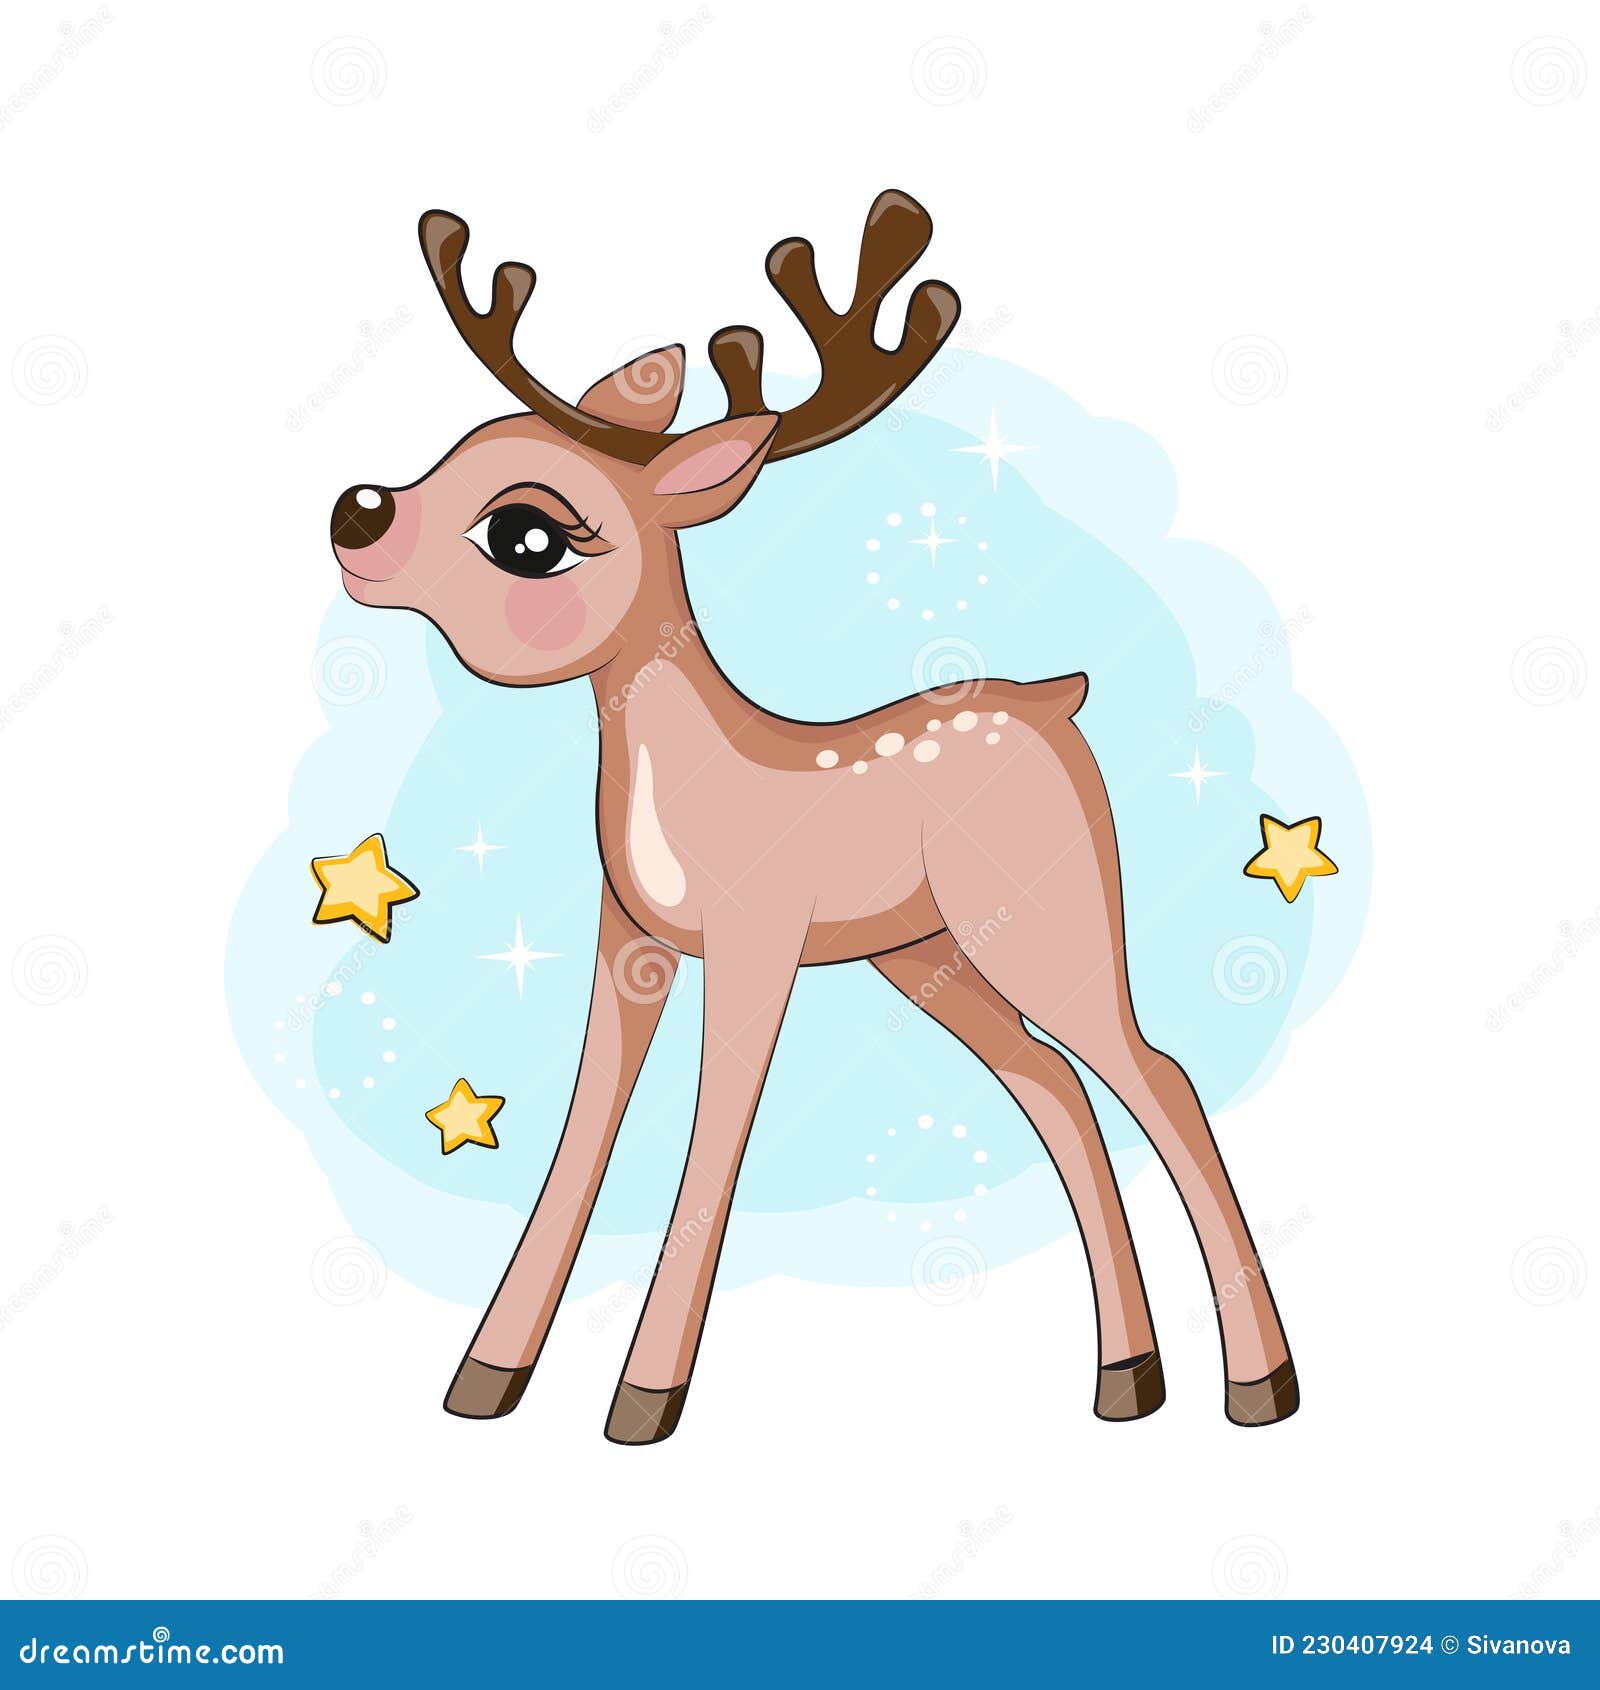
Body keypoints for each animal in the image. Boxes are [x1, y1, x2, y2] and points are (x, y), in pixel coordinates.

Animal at [328, 190, 1299, 1444]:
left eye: (528, 534)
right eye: (455, 448)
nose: (354, 514)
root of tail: (1057, 697)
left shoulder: (758, 942)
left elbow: (715, 1134)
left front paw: (644, 1397)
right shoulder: (628, 938)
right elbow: (584, 1125)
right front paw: (483, 1378)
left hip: (1047, 921)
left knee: (1158, 1071)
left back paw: (1257, 1386)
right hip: (925, 954)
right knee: (1054, 1086)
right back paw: (1125, 1380)